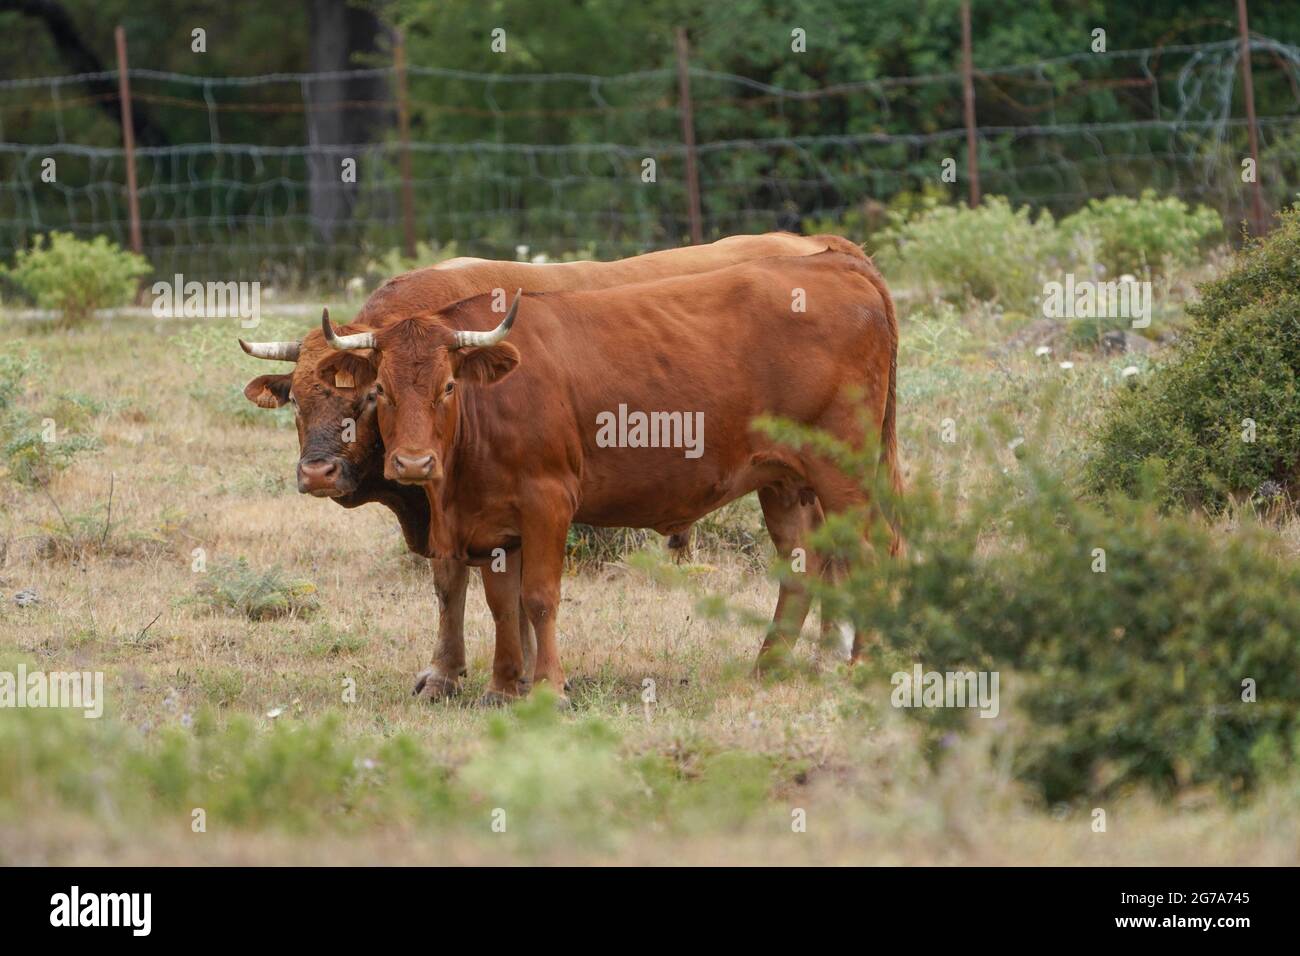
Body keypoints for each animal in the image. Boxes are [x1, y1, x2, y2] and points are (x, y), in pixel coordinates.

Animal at [238, 233, 841, 701]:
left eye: (364, 400)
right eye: (297, 400)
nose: (317, 473)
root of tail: (829, 249)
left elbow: (477, 586)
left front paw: (463, 674)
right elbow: (477, 589)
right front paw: (498, 673)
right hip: (786, 483)